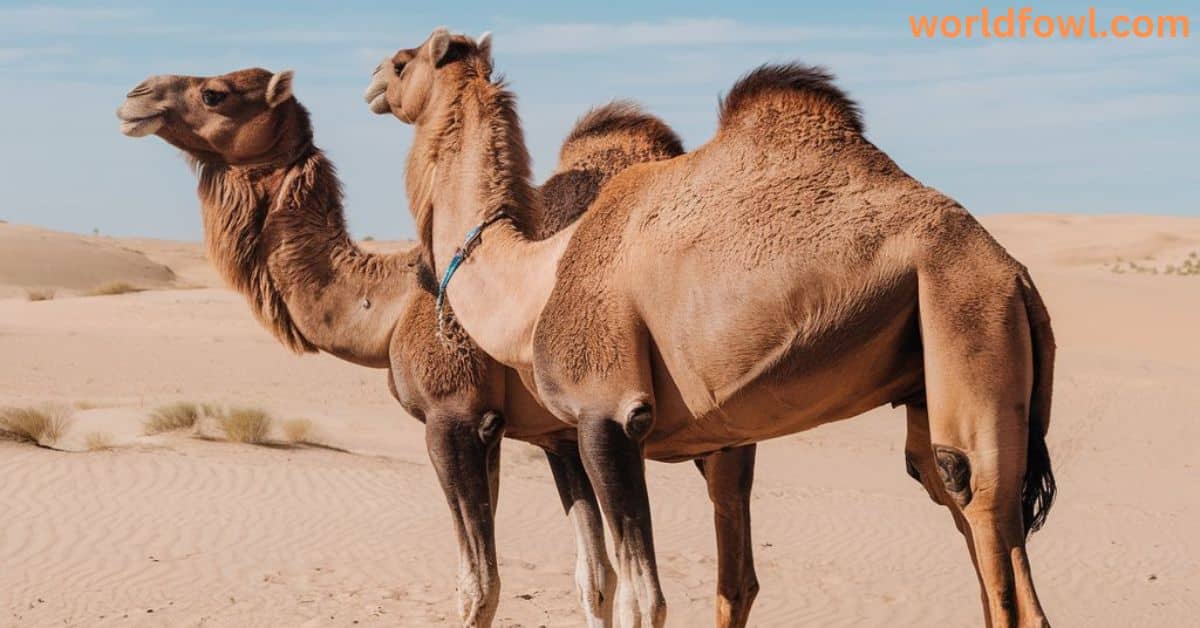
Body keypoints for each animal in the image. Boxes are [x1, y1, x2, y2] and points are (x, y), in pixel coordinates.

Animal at [116, 67, 758, 627]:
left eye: (216, 92)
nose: (134, 97)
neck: (392, 304)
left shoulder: (454, 417)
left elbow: (480, 585)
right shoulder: (546, 434)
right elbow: (592, 579)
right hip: (720, 433)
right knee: (737, 581)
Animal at [367, 29, 1057, 628]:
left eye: (403, 62)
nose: (372, 80)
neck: (536, 280)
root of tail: (1017, 274)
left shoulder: (608, 413)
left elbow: (641, 600)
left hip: (968, 310)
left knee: (978, 501)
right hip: (938, 362)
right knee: (948, 495)